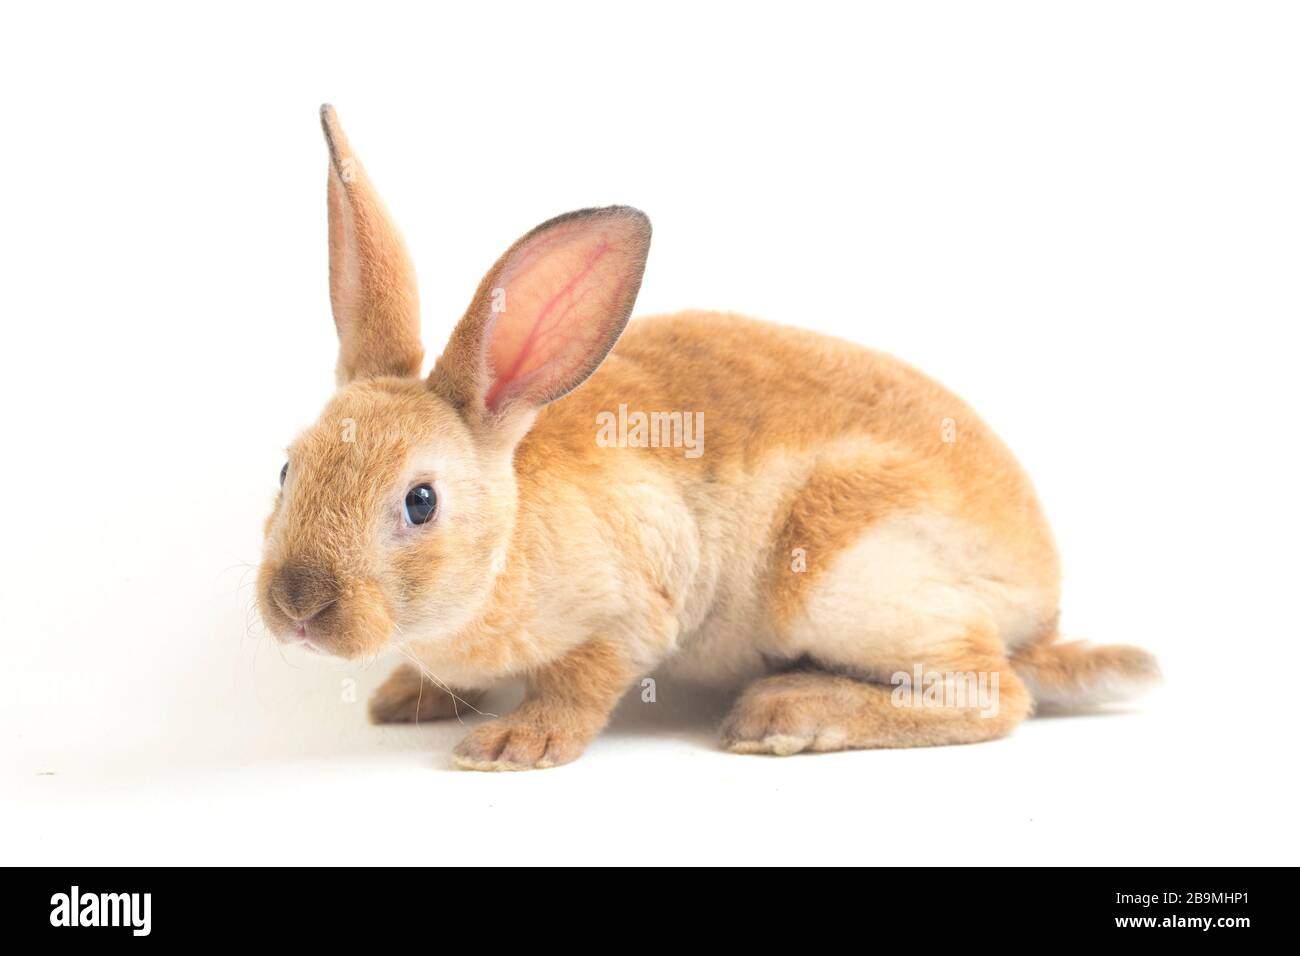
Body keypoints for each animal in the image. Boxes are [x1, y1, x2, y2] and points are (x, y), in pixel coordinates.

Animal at [257, 106, 1160, 771]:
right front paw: (403, 698)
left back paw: (788, 713)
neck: (502, 541)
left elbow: (583, 684)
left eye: (420, 502)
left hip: (852, 575)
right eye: (287, 470)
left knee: (992, 695)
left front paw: (514, 744)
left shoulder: (634, 613)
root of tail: (1041, 612)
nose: (297, 606)